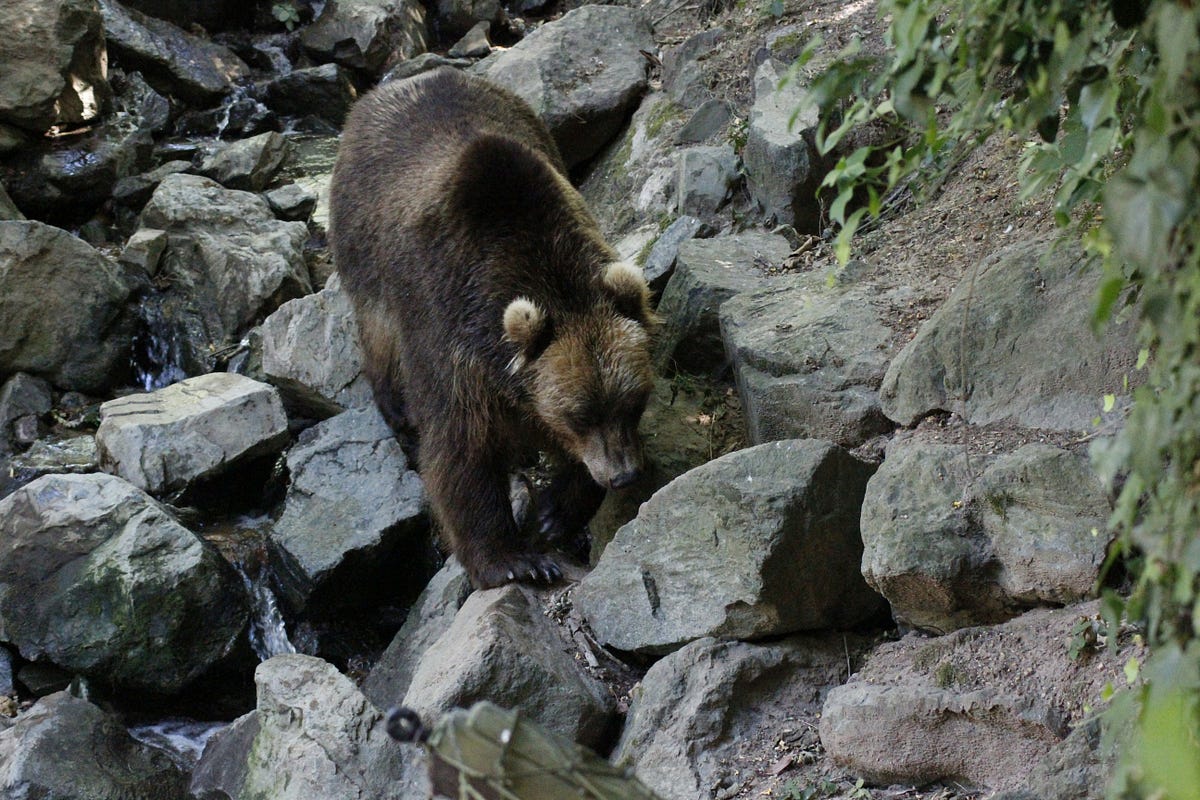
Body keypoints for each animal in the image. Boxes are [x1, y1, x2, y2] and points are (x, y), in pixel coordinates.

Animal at [329, 68, 657, 589]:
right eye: (579, 415)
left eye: (633, 402)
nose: (622, 476)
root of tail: (388, 87)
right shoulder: (447, 332)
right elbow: (459, 450)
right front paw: (514, 558)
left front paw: (554, 512)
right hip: (363, 248)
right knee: (378, 337)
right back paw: (397, 412)